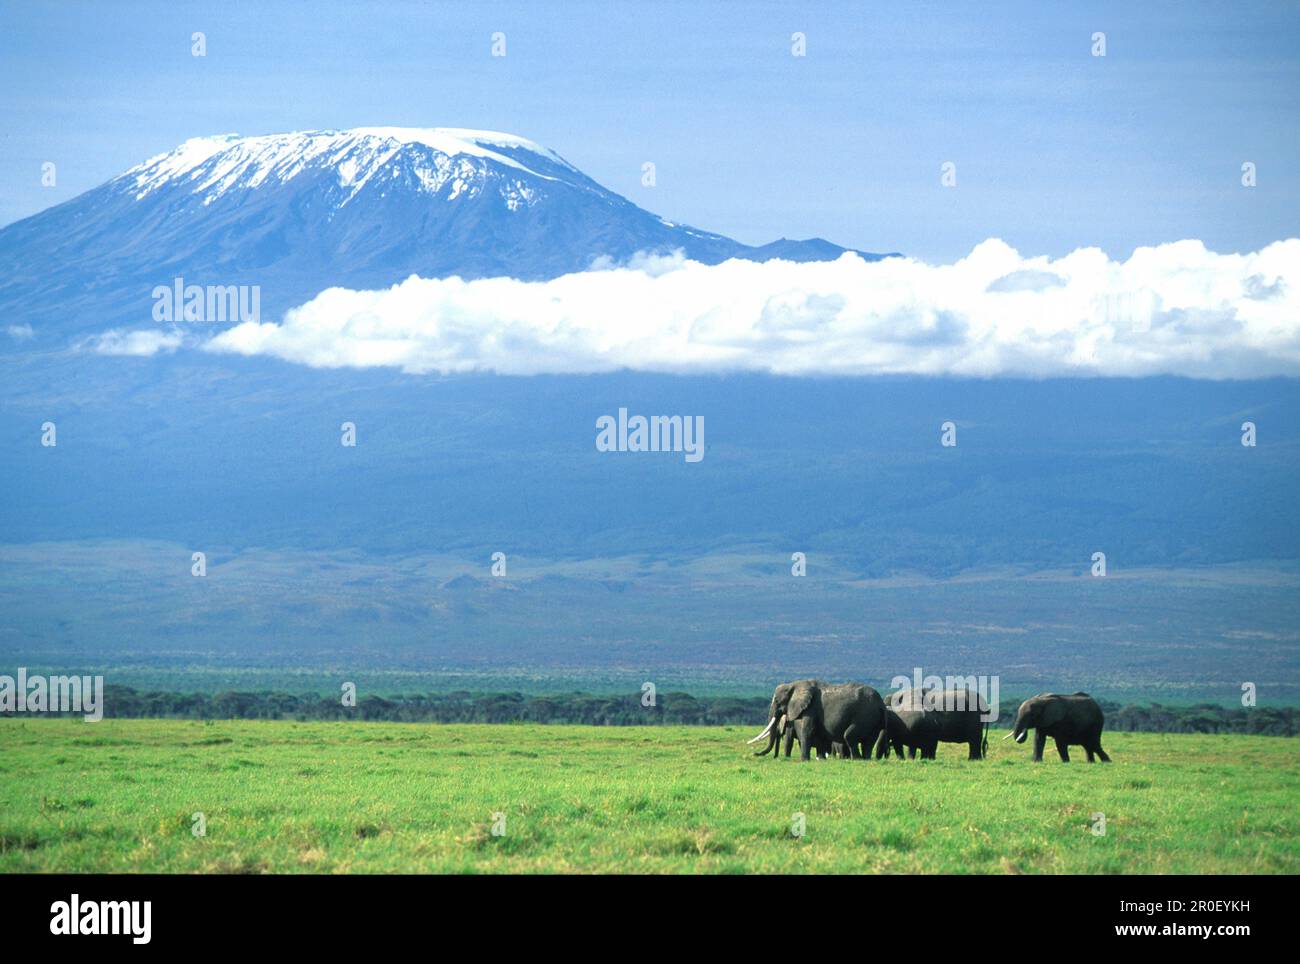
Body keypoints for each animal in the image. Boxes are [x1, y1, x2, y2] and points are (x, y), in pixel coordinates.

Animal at [748, 680, 886, 761]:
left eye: (777, 700)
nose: (754, 754)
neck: (794, 684)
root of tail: (880, 702)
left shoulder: (811, 708)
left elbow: (807, 731)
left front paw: (804, 761)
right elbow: (818, 734)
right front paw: (820, 759)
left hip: (864, 715)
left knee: (849, 735)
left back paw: (856, 759)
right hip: (874, 719)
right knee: (869, 741)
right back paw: (865, 759)